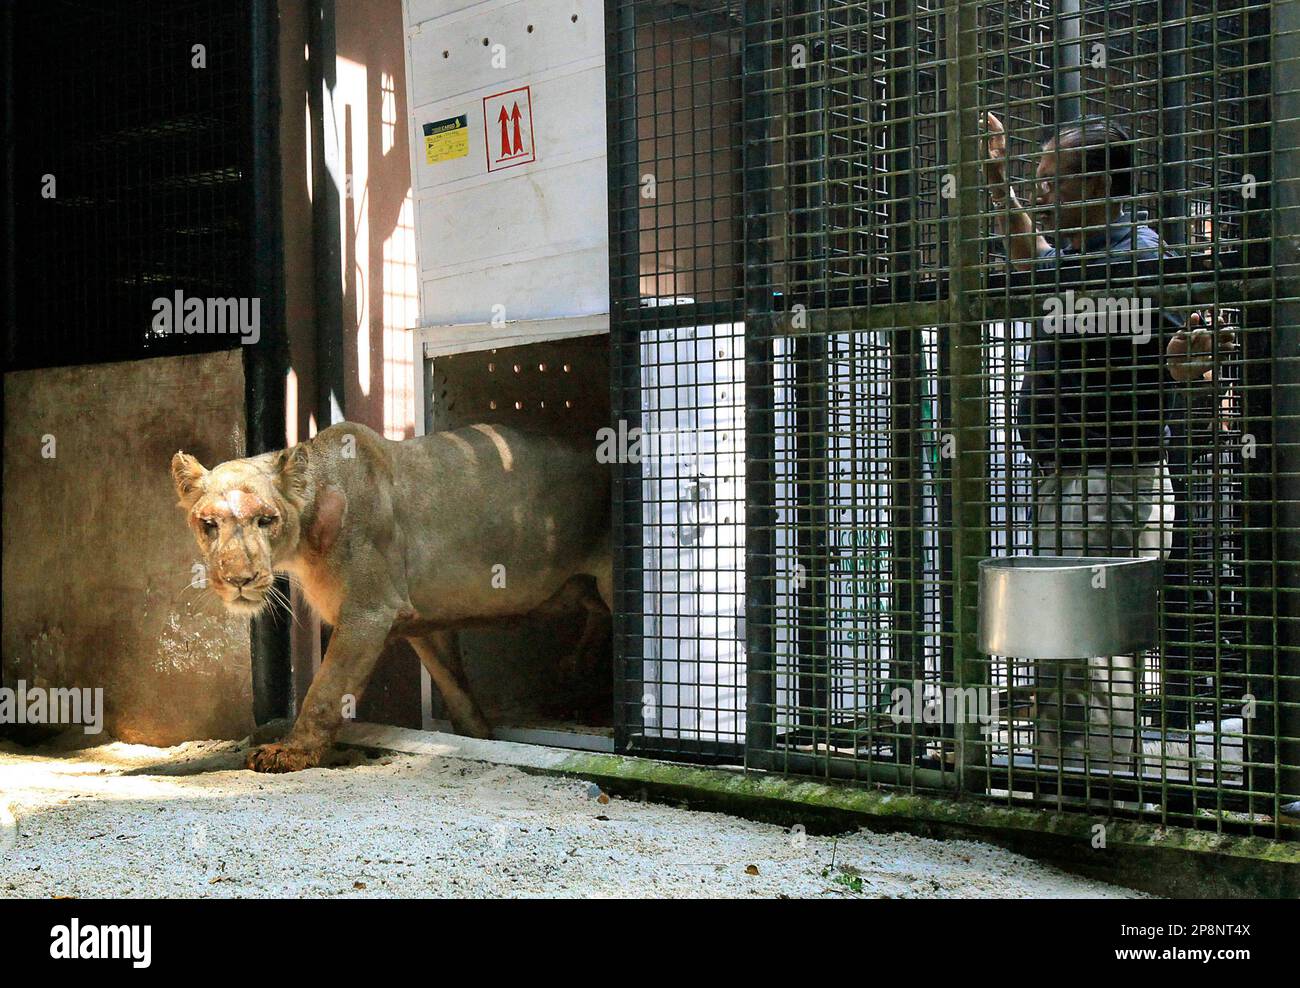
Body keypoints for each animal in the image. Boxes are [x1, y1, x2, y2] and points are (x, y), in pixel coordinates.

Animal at [171, 422, 611, 773]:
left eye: (266, 520)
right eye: (209, 524)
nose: (239, 579)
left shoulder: (369, 612)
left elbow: (325, 690)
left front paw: (290, 752)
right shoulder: (425, 619)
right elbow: (454, 685)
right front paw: (480, 738)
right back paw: (577, 663)